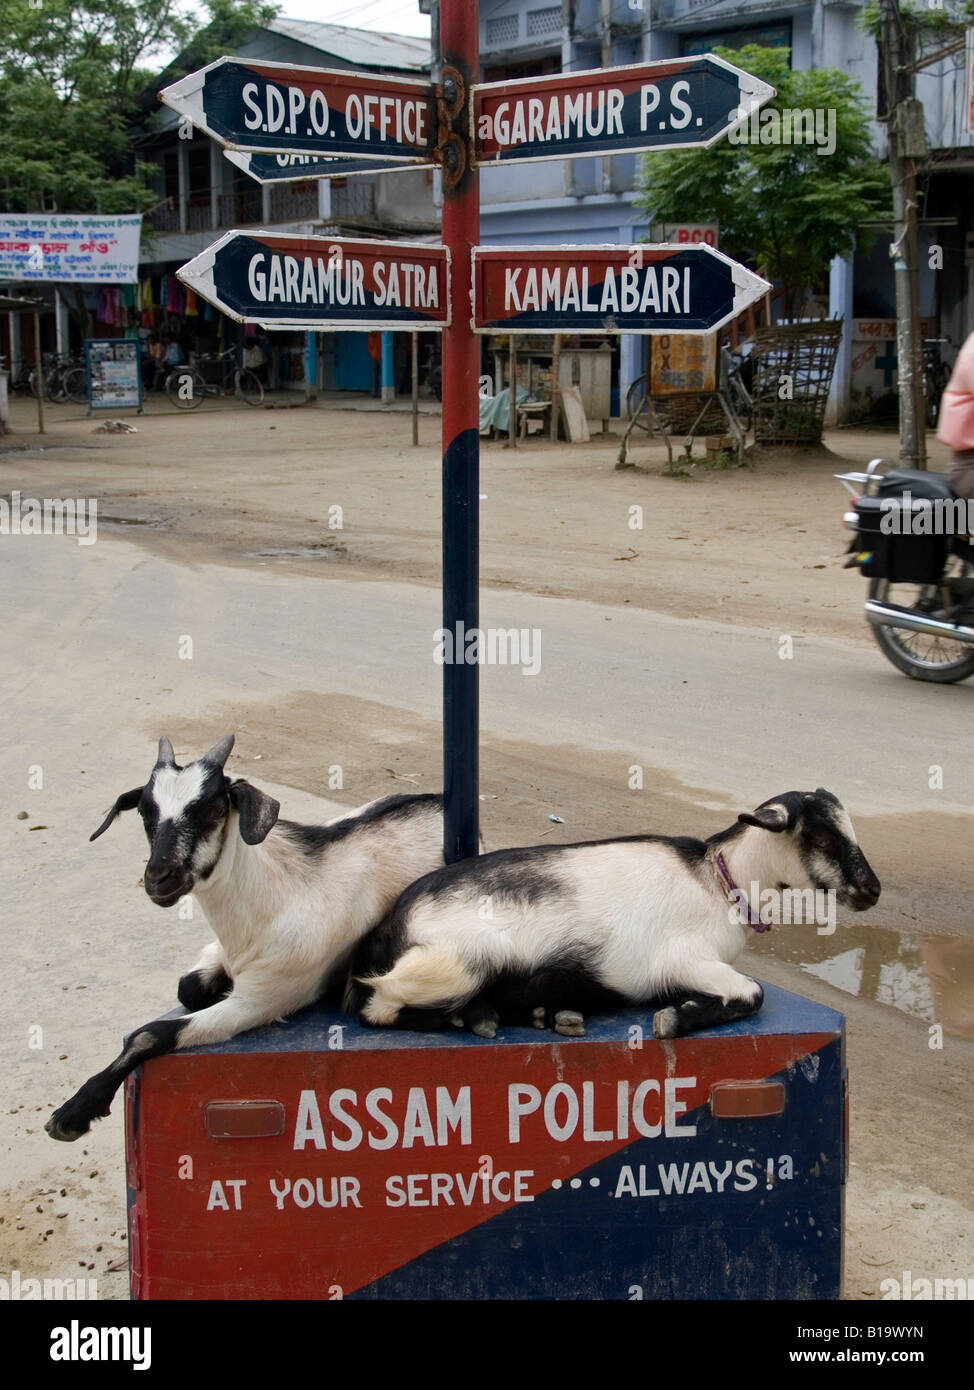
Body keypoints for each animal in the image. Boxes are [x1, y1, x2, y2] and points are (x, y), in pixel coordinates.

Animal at [46, 734, 444, 1141]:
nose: (159, 878)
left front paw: (74, 1112)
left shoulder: (259, 1002)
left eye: (213, 809)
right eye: (144, 812)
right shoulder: (220, 954)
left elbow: (151, 1033)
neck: (276, 896)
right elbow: (187, 988)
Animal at [345, 789, 881, 1041]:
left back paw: (543, 1013)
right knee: (379, 1007)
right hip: (458, 965)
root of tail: (391, 926)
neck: (716, 879)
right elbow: (753, 992)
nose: (872, 890)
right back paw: (474, 1017)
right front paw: (674, 1019)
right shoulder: (682, 961)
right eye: (823, 837)